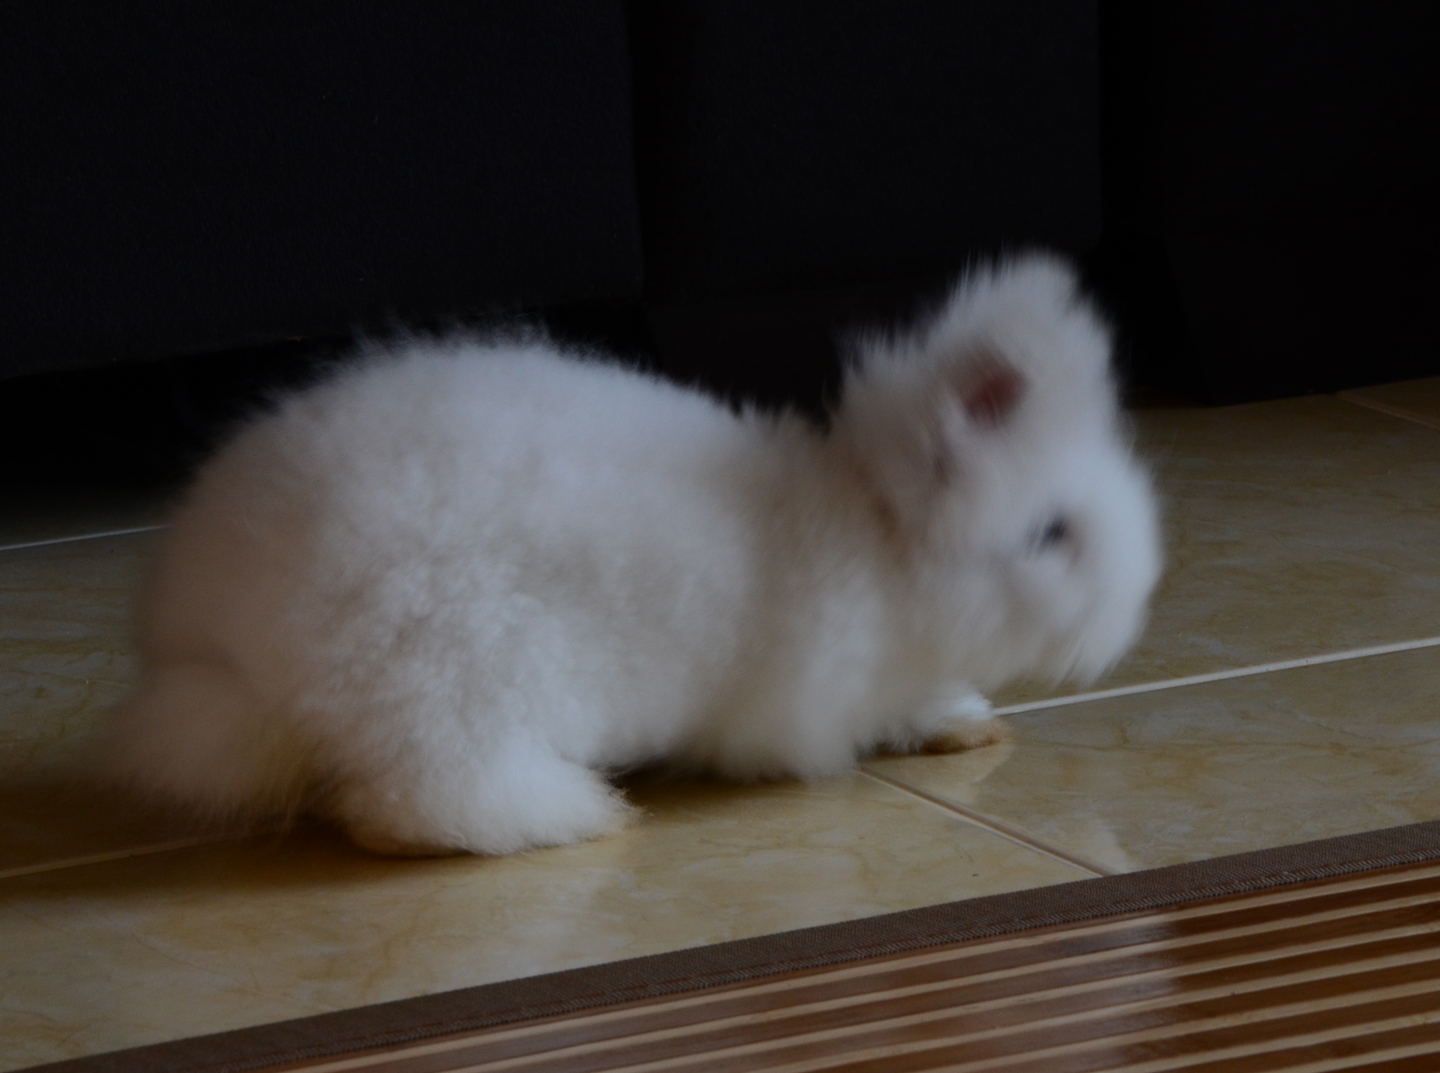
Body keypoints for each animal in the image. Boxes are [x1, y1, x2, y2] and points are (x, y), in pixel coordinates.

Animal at [105, 253, 1162, 856]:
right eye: (1053, 535)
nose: (1125, 621)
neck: (876, 543)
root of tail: (212, 645)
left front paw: (963, 725)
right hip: (450, 670)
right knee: (425, 799)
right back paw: (581, 815)